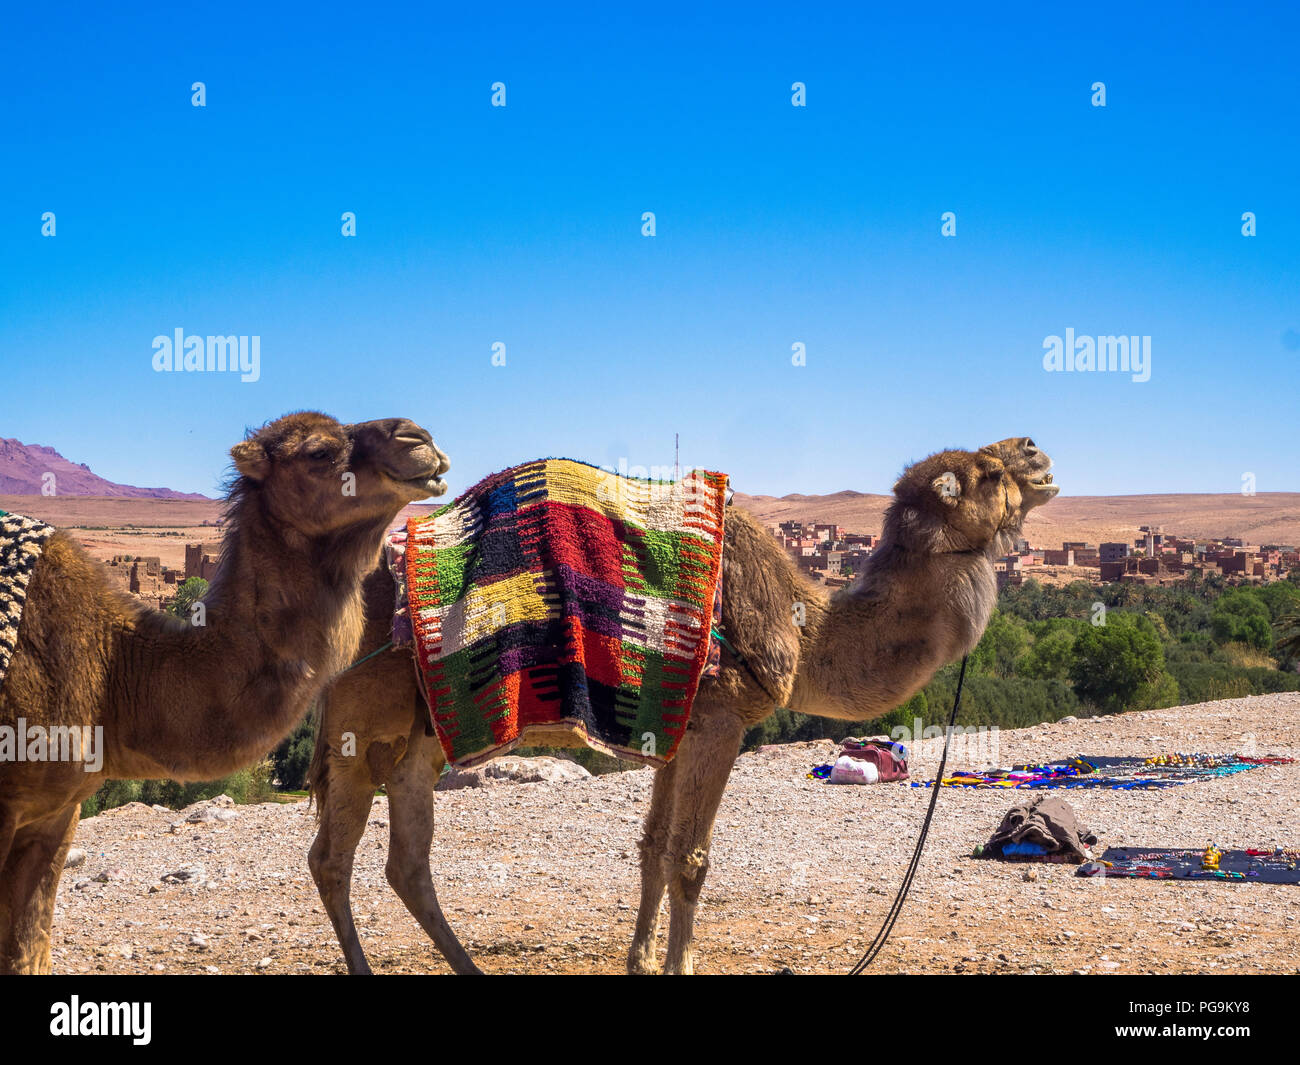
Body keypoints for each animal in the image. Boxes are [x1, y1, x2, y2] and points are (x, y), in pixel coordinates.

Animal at [305, 436, 1058, 975]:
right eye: (987, 472)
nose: (1036, 452)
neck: (802, 629)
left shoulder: (671, 726)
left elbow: (653, 847)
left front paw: (639, 962)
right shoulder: (720, 721)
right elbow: (691, 857)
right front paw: (677, 965)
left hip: (419, 736)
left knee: (405, 862)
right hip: (361, 725)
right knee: (331, 860)